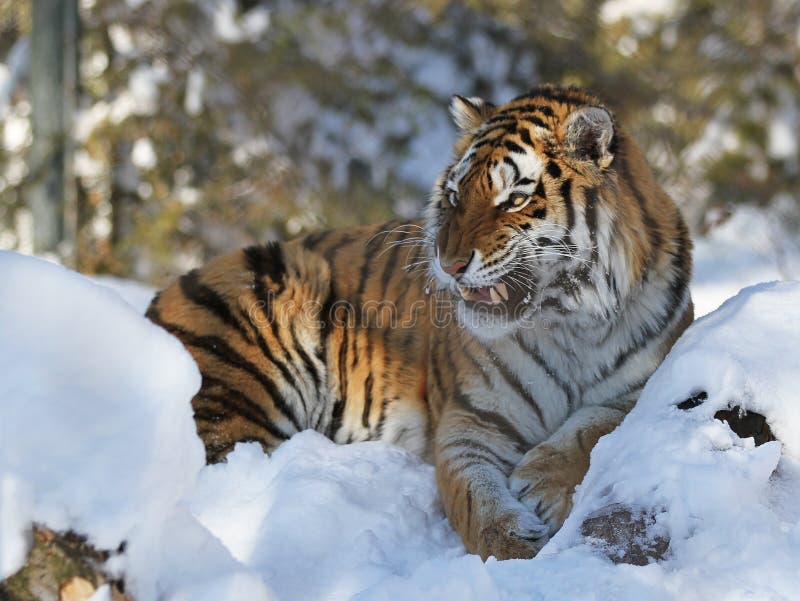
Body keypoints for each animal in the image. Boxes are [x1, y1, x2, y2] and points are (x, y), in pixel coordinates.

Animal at [146, 84, 693, 560]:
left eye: (514, 199)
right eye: (454, 197)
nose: (448, 264)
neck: (568, 321)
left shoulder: (652, 381)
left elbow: (597, 423)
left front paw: (541, 482)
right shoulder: (471, 419)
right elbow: (475, 498)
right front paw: (513, 545)